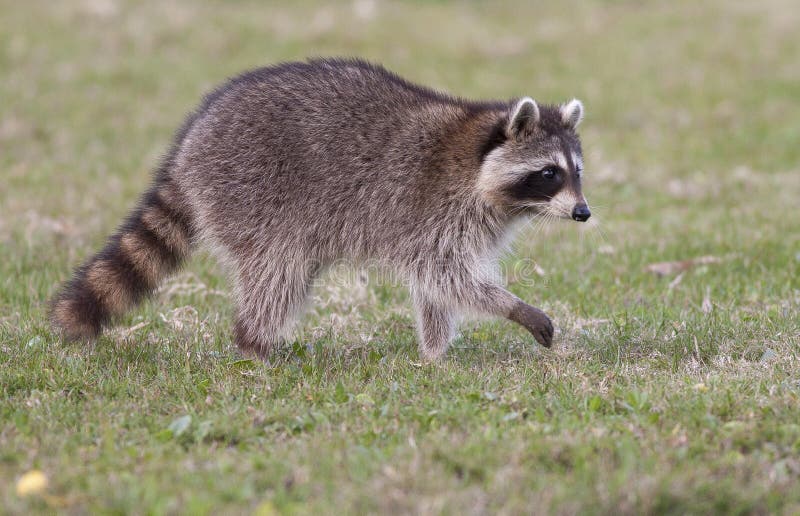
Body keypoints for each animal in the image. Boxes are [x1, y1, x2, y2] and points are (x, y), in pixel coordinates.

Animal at [50, 58, 590, 360]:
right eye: (549, 174)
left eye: (577, 172)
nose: (583, 214)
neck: (480, 158)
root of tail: (187, 148)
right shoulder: (432, 210)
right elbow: (448, 277)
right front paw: (514, 308)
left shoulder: (450, 223)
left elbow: (436, 287)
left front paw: (436, 354)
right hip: (252, 192)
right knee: (278, 274)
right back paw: (253, 345)